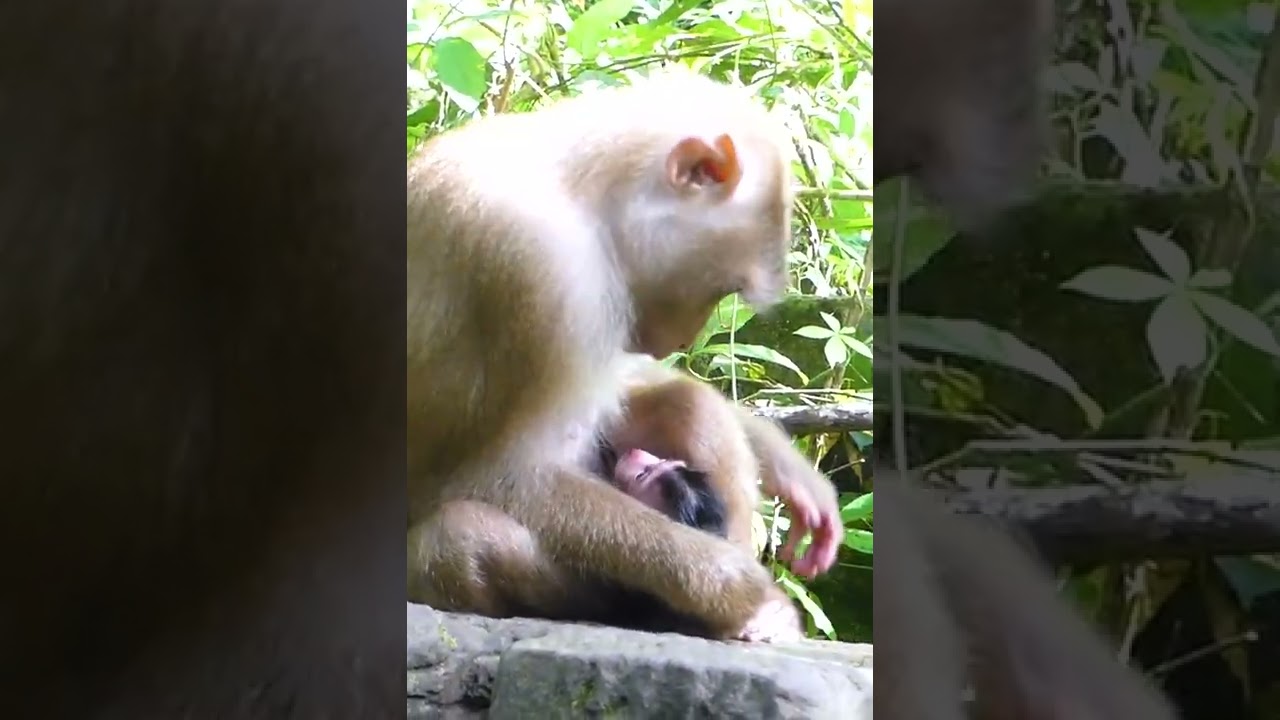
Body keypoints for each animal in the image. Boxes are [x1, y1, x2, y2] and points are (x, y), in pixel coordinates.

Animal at [406, 72, 843, 644]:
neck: (579, 190)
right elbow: (495, 472)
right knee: (460, 536)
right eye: (724, 287)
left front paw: (793, 474)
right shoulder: (539, 267)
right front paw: (737, 586)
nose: (682, 338)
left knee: (685, 403)